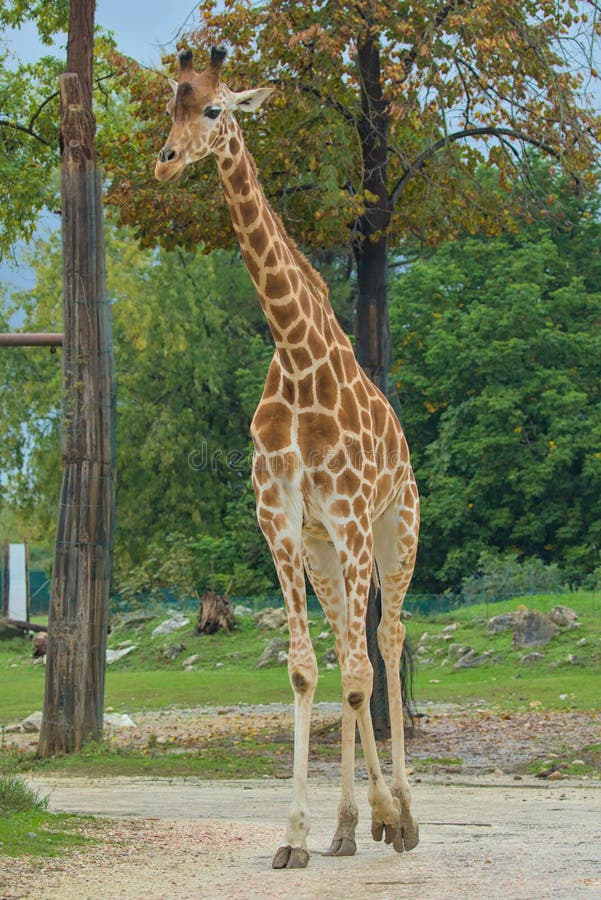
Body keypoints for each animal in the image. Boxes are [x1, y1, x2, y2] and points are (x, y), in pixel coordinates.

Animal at [155, 47, 420, 870]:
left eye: (214, 108)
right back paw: (352, 824)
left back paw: (403, 816)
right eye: (168, 106)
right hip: (324, 551)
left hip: (394, 531)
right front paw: (300, 834)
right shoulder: (281, 524)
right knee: (347, 648)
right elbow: (307, 669)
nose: (165, 160)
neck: (299, 359)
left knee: (387, 642)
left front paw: (385, 818)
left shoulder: (352, 519)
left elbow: (363, 670)